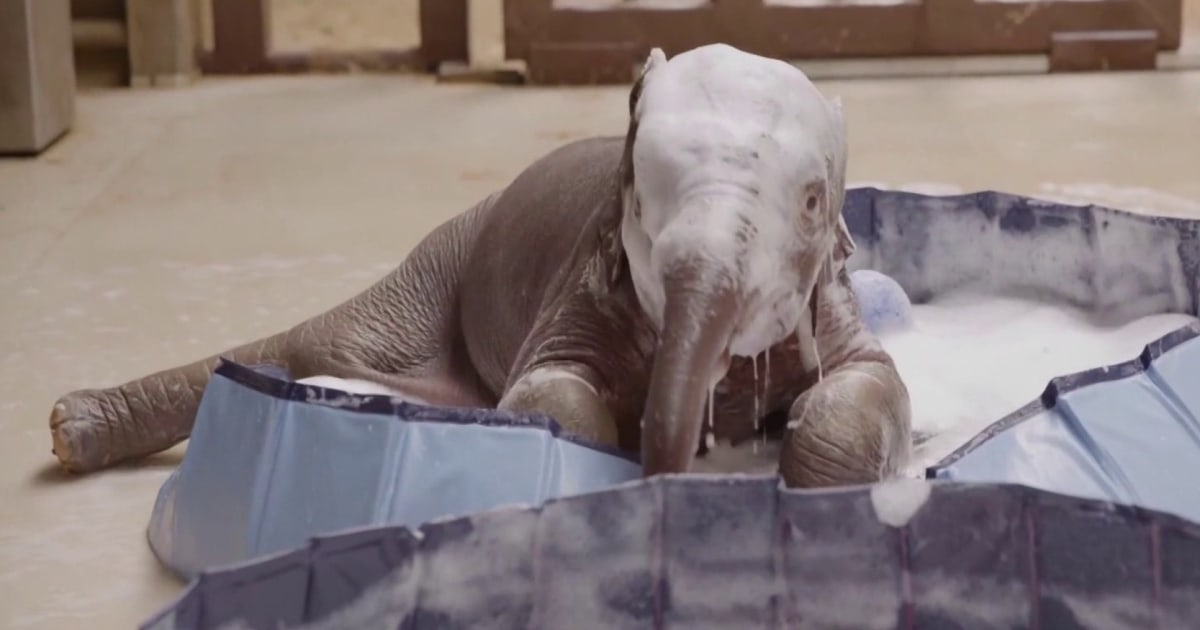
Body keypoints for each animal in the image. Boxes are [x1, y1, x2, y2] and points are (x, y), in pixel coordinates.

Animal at [47, 43, 912, 488]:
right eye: (638, 186)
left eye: (811, 202)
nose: (665, 470)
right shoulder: (583, 285)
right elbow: (550, 388)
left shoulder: (833, 302)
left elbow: (870, 383)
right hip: (443, 263)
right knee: (310, 344)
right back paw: (74, 427)